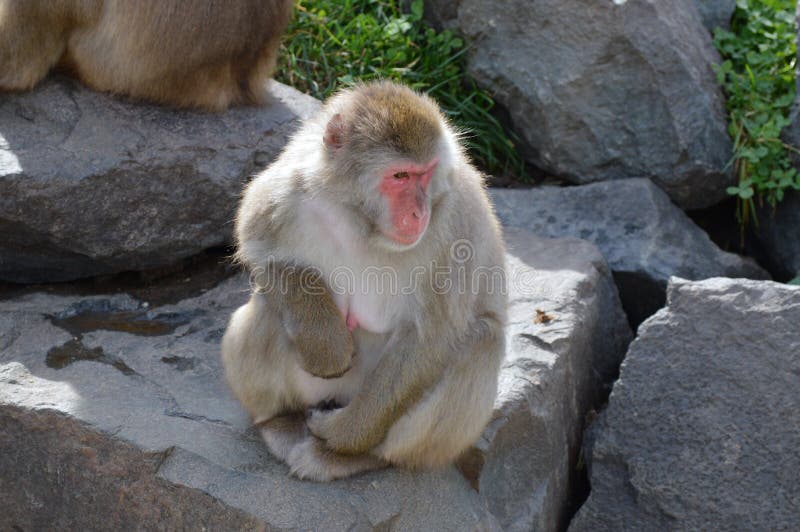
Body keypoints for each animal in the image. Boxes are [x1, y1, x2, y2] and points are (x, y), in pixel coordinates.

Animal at [221, 80, 507, 481]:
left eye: (426, 172)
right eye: (400, 177)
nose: (419, 212)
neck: (363, 221)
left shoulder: (455, 224)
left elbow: (431, 337)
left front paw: (343, 433)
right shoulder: (291, 187)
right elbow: (260, 248)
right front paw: (327, 346)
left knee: (482, 339)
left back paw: (352, 455)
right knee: (266, 303)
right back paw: (279, 421)